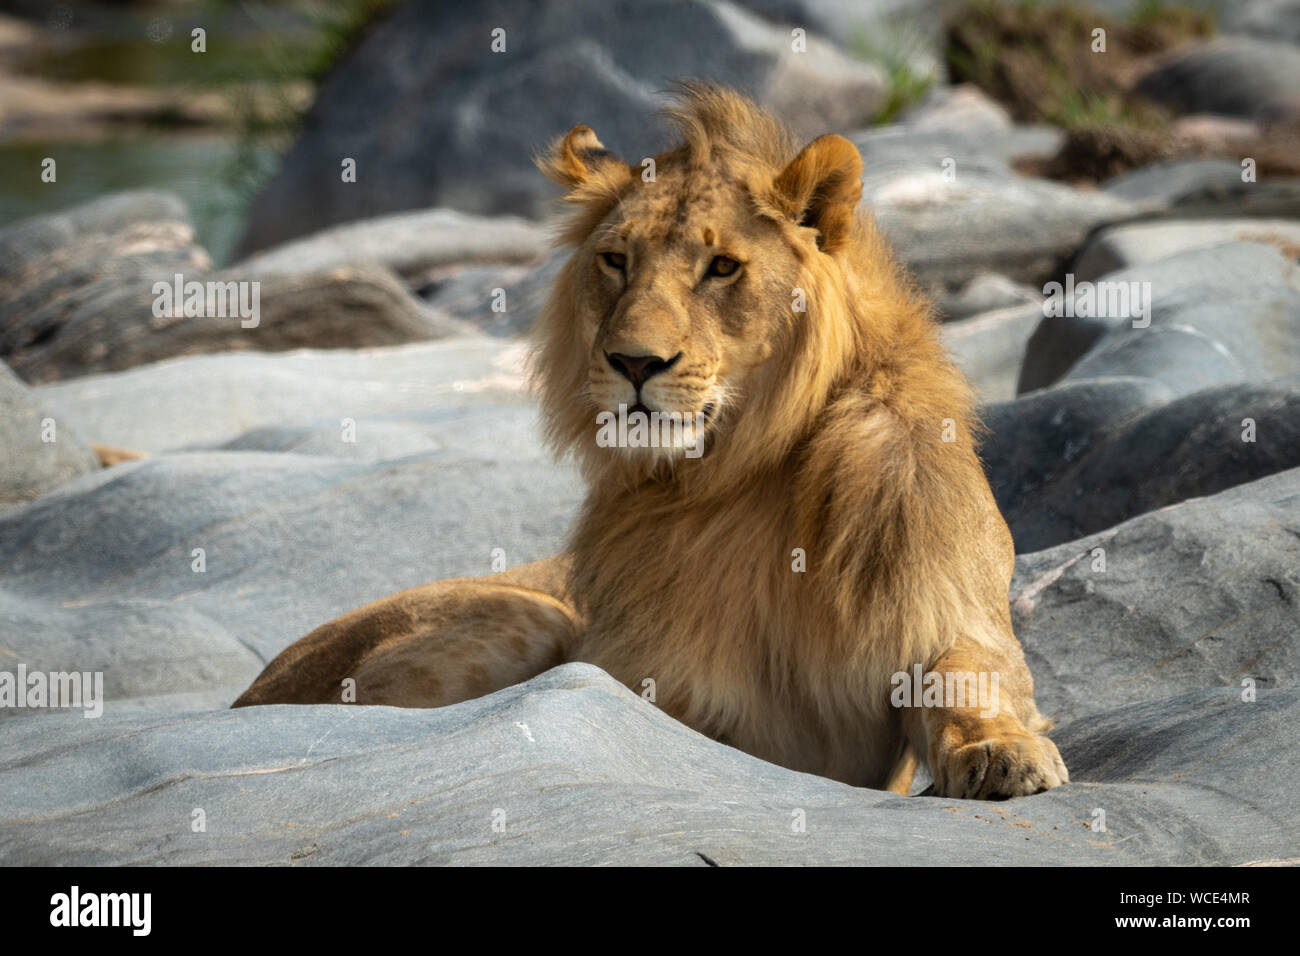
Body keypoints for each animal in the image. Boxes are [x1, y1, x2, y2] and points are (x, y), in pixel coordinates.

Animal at [234, 84, 1068, 800]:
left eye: (722, 267)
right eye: (616, 260)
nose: (633, 362)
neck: (740, 466)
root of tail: (248, 695)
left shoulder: (949, 610)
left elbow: (971, 680)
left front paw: (1003, 752)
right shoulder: (652, 676)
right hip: (532, 615)